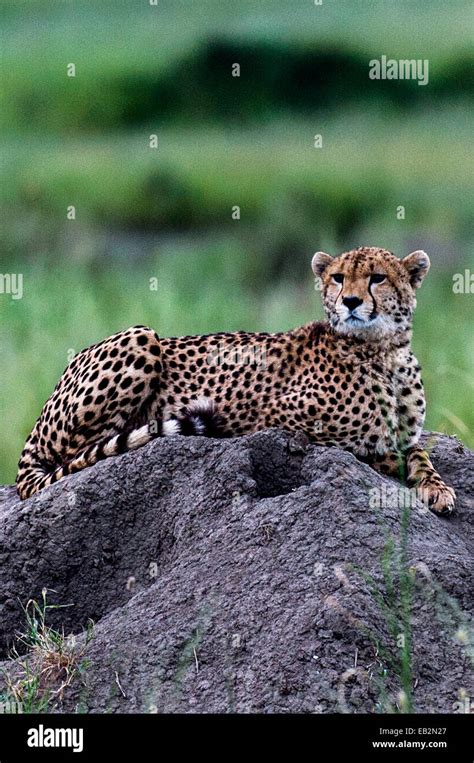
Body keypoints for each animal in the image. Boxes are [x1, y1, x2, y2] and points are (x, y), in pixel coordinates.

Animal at [16, 246, 456, 515]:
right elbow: (371, 447)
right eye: (337, 278)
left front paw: (436, 487)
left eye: (378, 277)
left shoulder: (407, 433)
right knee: (80, 456)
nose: (350, 301)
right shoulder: (274, 417)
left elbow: (418, 452)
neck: (383, 351)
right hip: (141, 337)